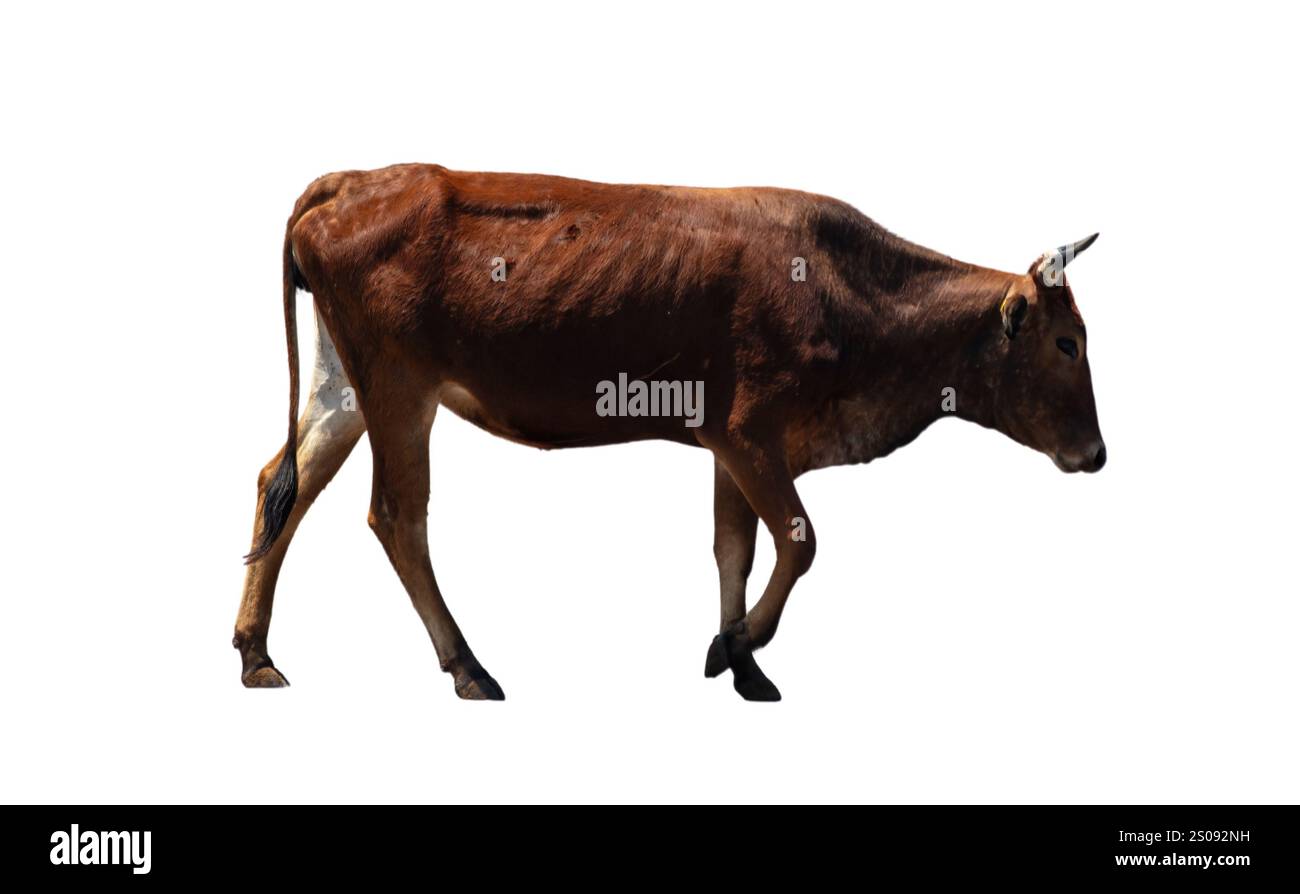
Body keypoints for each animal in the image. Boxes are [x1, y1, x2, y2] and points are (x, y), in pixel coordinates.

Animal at [234, 163, 1105, 701]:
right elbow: (799, 542)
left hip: (347, 385)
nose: (1096, 454)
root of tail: (358, 178)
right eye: (1067, 342)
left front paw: (741, 660)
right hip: (398, 386)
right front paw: (741, 645)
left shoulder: (730, 444)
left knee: (285, 483)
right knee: (396, 517)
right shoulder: (754, 433)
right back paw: (468, 667)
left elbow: (735, 548)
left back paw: (256, 654)